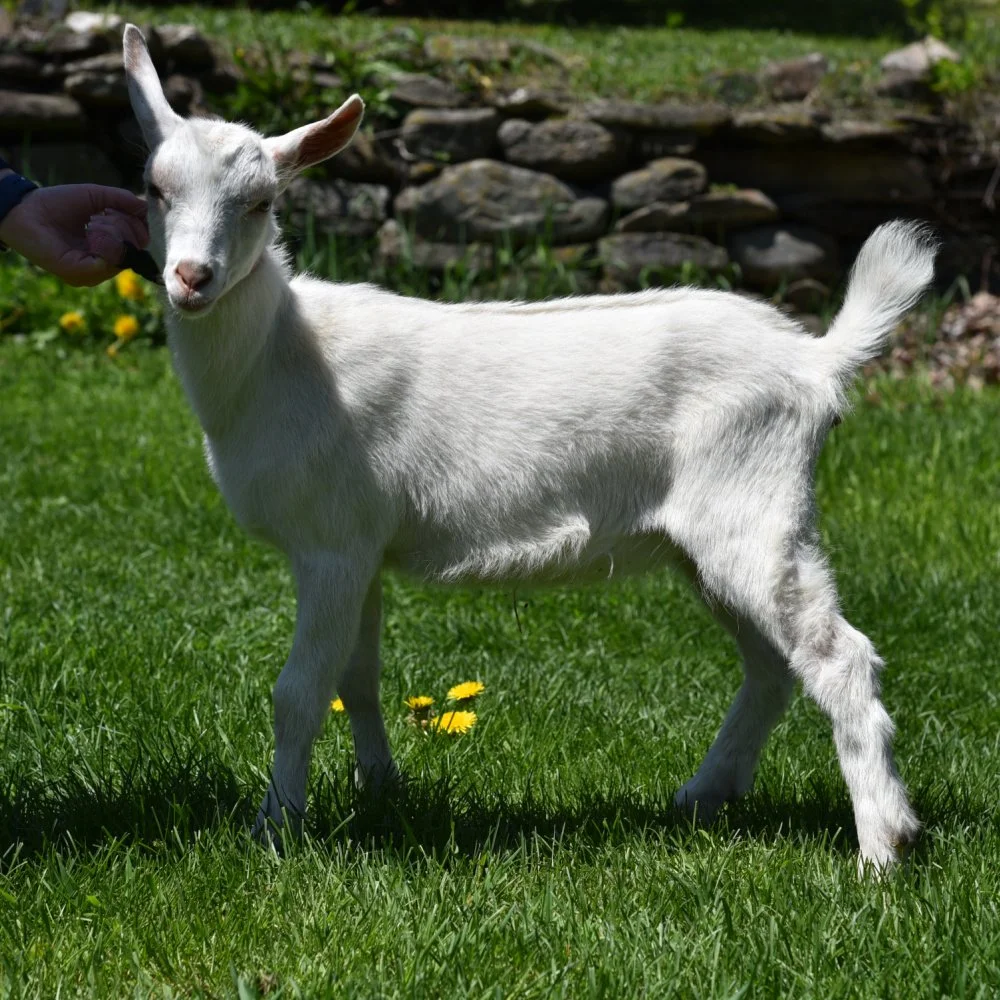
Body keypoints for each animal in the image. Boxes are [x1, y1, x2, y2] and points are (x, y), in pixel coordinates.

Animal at [123, 24, 935, 870]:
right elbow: (359, 679)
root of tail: (816, 361)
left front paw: (276, 828)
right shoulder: (362, 544)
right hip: (710, 535)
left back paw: (884, 846)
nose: (191, 277)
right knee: (774, 664)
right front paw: (379, 791)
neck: (279, 353)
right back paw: (707, 794)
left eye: (262, 202)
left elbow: (300, 691)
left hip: (755, 505)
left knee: (836, 655)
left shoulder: (330, 542)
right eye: (154, 188)